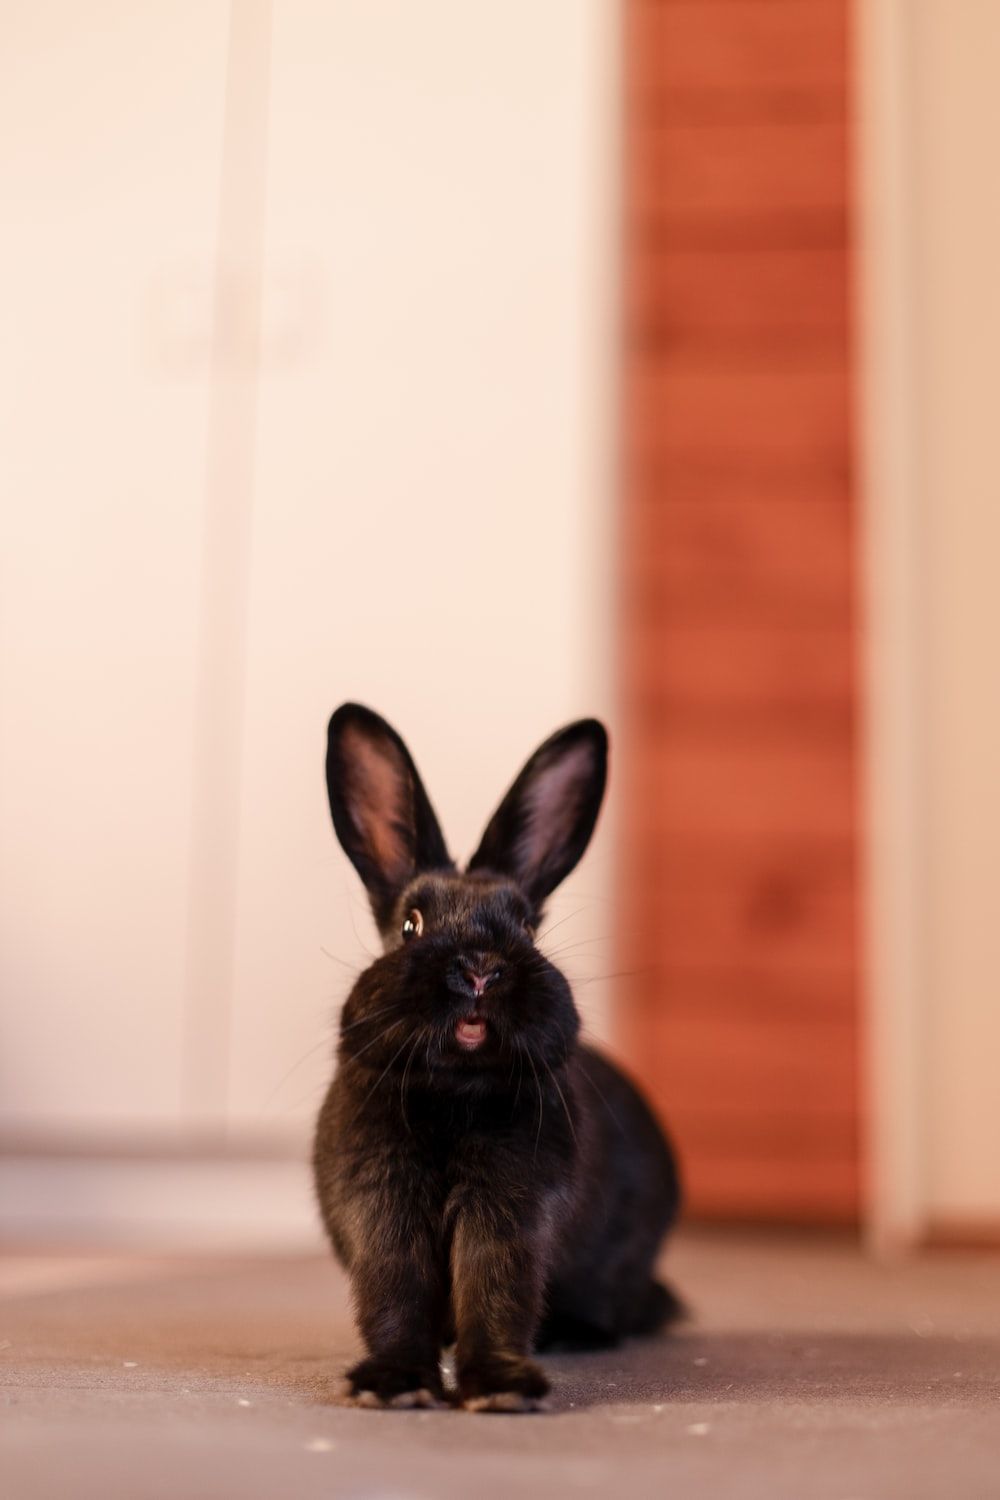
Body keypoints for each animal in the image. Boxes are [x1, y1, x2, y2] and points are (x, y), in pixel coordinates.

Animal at [313, 703, 682, 1411]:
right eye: (411, 925)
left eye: (527, 929)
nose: (480, 969)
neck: (454, 1091)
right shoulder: (380, 1197)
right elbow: (394, 1285)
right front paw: (393, 1381)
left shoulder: (513, 1200)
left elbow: (495, 1282)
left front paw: (501, 1387)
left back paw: (574, 1333)